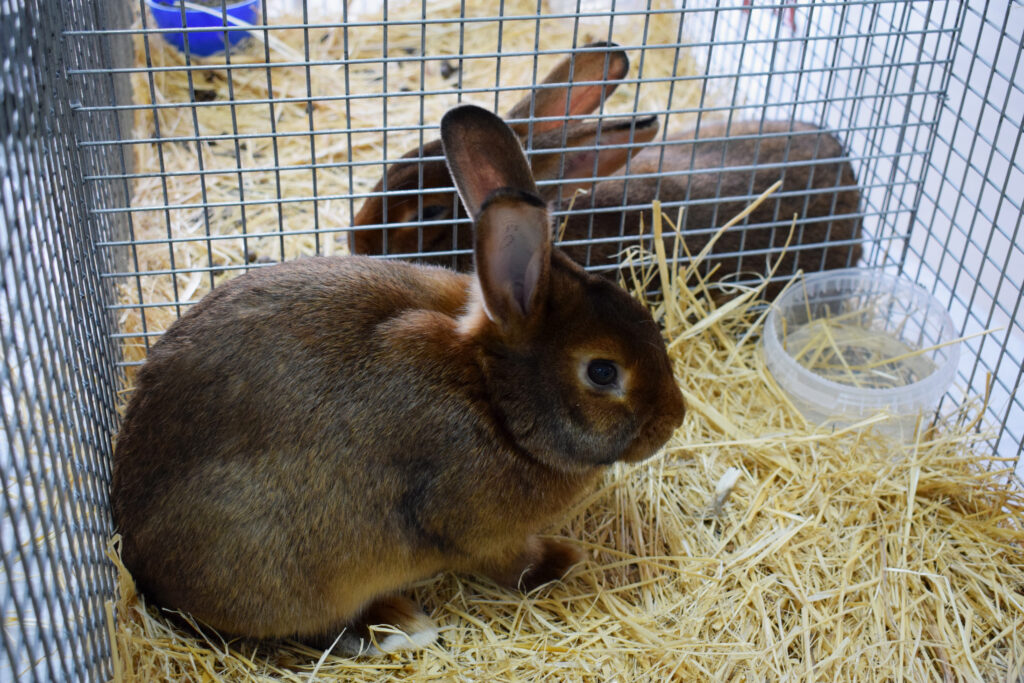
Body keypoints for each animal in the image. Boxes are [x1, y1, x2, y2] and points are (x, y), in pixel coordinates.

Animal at [110, 103, 685, 656]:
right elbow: (512, 563)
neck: (491, 394)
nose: (674, 420)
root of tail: (141, 566)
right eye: (603, 371)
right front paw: (565, 560)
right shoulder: (477, 530)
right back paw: (395, 627)